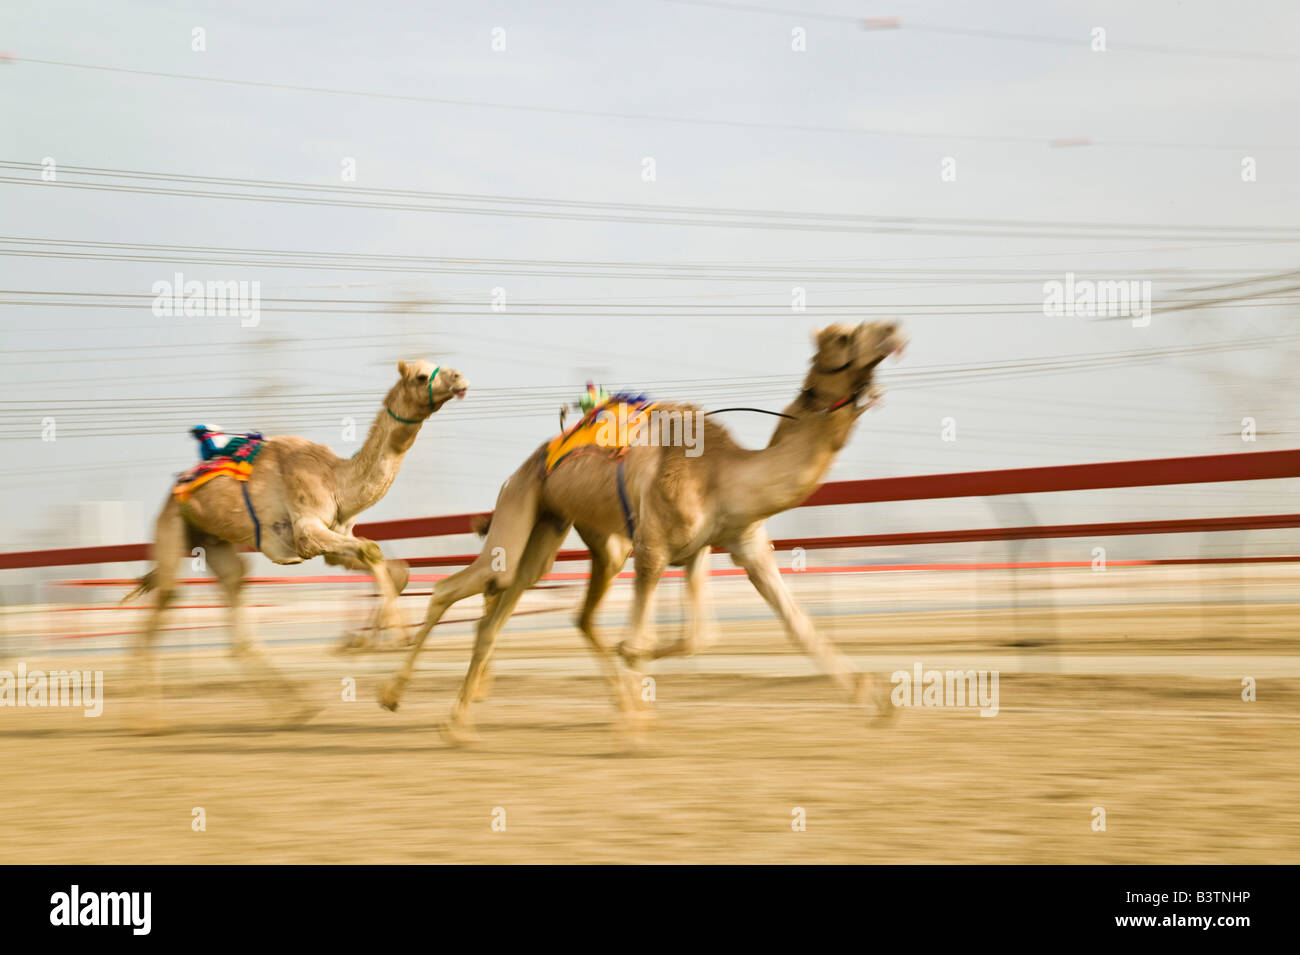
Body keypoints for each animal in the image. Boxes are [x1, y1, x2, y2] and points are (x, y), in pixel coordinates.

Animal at [124, 359, 468, 725]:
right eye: (421, 376)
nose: (459, 377)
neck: (336, 480)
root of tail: (176, 488)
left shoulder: (335, 536)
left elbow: (393, 566)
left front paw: (363, 643)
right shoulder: (307, 531)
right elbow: (372, 551)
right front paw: (394, 636)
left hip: (213, 541)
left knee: (234, 592)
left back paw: (299, 707)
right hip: (170, 526)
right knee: (167, 598)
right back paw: (146, 721)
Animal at [378, 322, 904, 740]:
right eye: (846, 336)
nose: (894, 330)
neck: (724, 474)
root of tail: (520, 470)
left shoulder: (728, 545)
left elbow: (741, 632)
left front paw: (876, 701)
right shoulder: (653, 546)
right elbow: (652, 636)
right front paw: (634, 721)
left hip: (572, 534)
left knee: (523, 612)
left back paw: (462, 718)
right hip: (520, 512)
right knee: (459, 587)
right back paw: (396, 697)